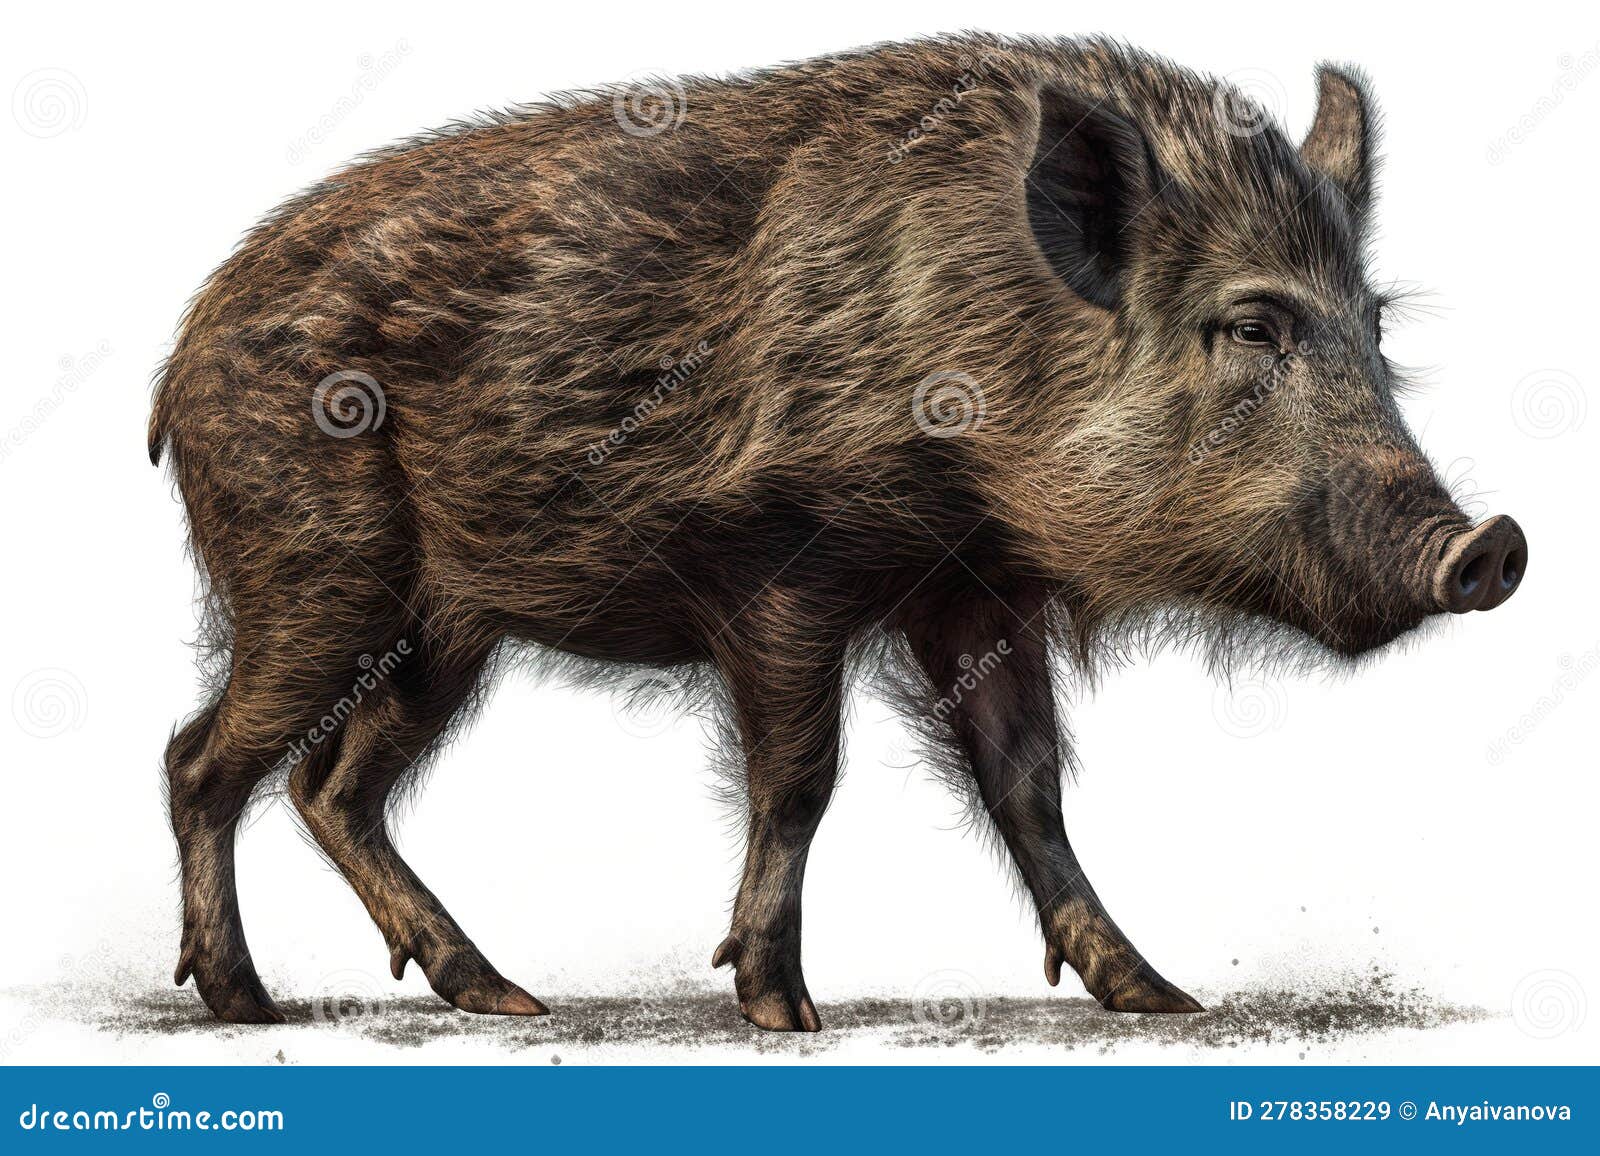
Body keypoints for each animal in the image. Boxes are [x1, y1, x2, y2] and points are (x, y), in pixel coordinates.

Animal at [149, 34, 1527, 1028]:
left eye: (1375, 327)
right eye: (1250, 326)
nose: (1490, 547)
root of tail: (180, 363)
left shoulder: (973, 590)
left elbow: (1030, 786)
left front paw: (1161, 1000)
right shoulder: (779, 565)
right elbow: (801, 778)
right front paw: (782, 1012)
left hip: (444, 629)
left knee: (332, 784)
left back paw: (501, 995)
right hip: (313, 568)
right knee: (201, 760)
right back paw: (245, 1003)